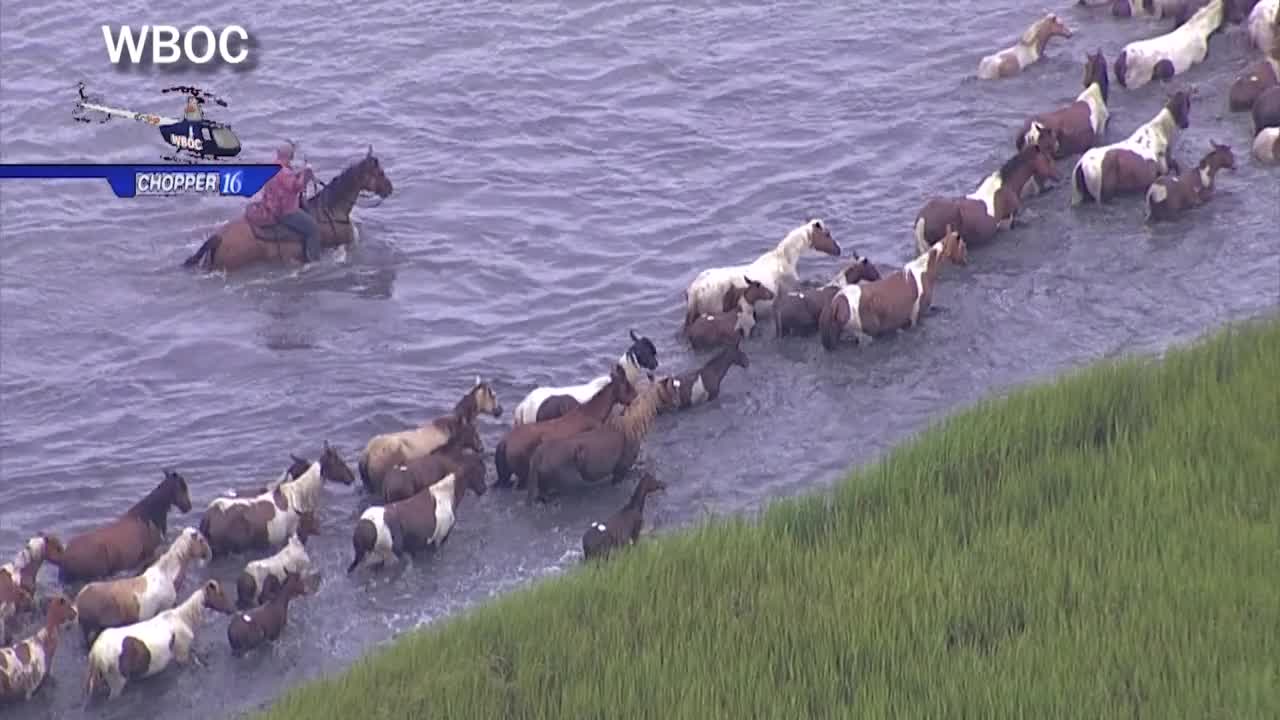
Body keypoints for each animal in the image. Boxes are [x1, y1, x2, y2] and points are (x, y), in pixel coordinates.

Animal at [72, 527, 211, 647]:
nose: (208, 554)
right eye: (201, 540)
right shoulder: (165, 608)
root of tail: (81, 595)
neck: (167, 575)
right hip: (90, 629)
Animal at [84, 580, 235, 701]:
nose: (232, 609)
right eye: (220, 595)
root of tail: (95, 652)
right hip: (117, 682)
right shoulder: (182, 654)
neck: (183, 618)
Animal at [347, 465, 489, 573]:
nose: (484, 489)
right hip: (389, 557)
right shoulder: (439, 539)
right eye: (480, 472)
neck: (446, 496)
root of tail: (362, 527)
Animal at [820, 228, 968, 350]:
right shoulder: (916, 318)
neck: (923, 271)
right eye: (962, 246)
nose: (965, 262)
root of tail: (837, 303)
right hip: (866, 336)